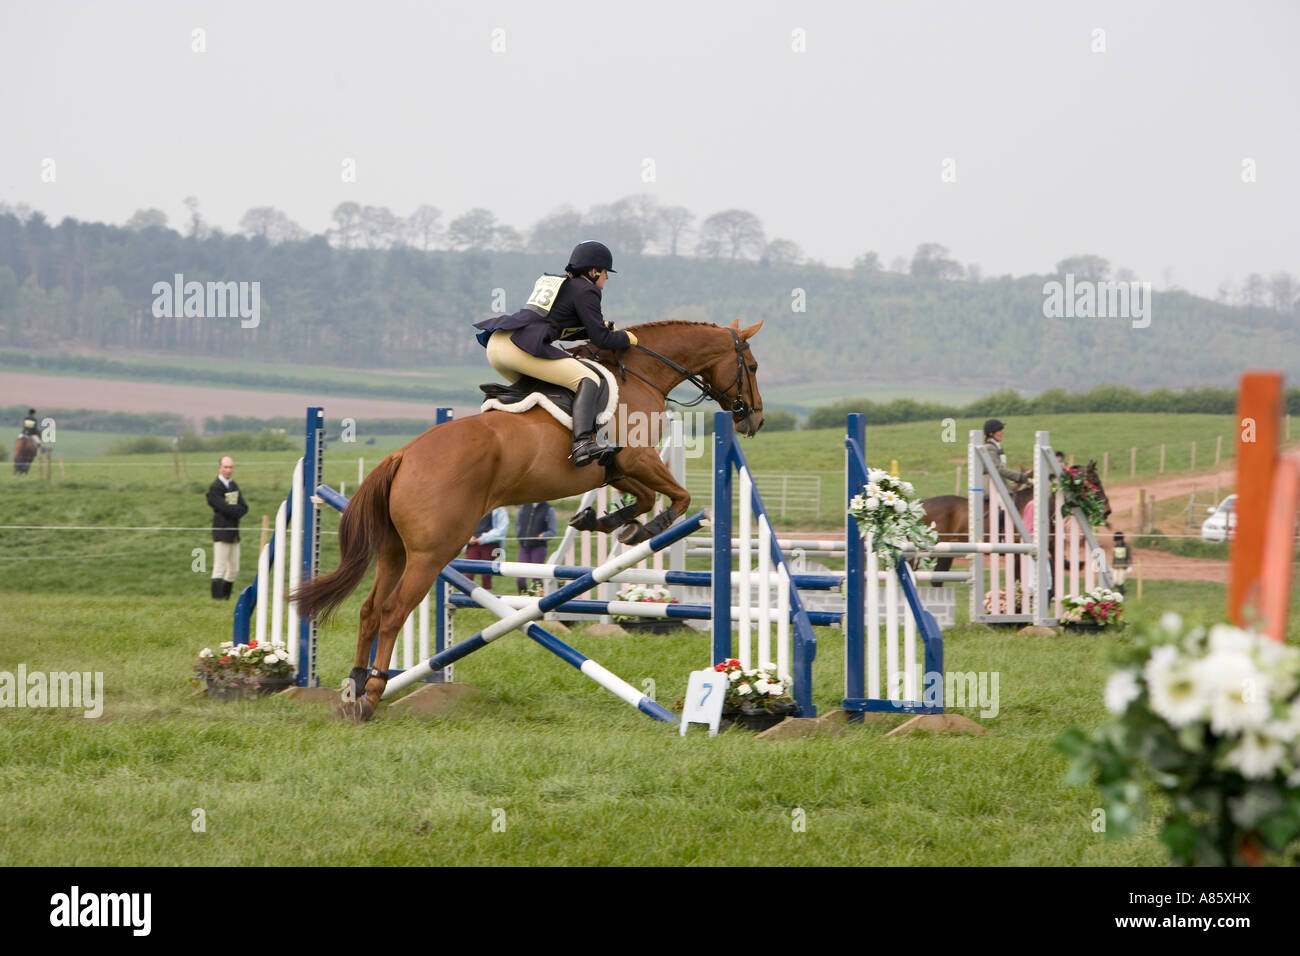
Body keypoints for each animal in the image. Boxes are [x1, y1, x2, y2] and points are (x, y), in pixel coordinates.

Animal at [292, 318, 766, 720]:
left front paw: (603, 521)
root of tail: (404, 455)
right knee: (392, 612)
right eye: (753, 366)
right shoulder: (636, 457)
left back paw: (352, 690)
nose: (755, 419)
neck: (641, 371)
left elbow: (647, 496)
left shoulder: (621, 467)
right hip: (431, 552)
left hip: (395, 550)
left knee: (370, 610)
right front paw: (643, 529)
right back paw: (371, 695)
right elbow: (677, 498)